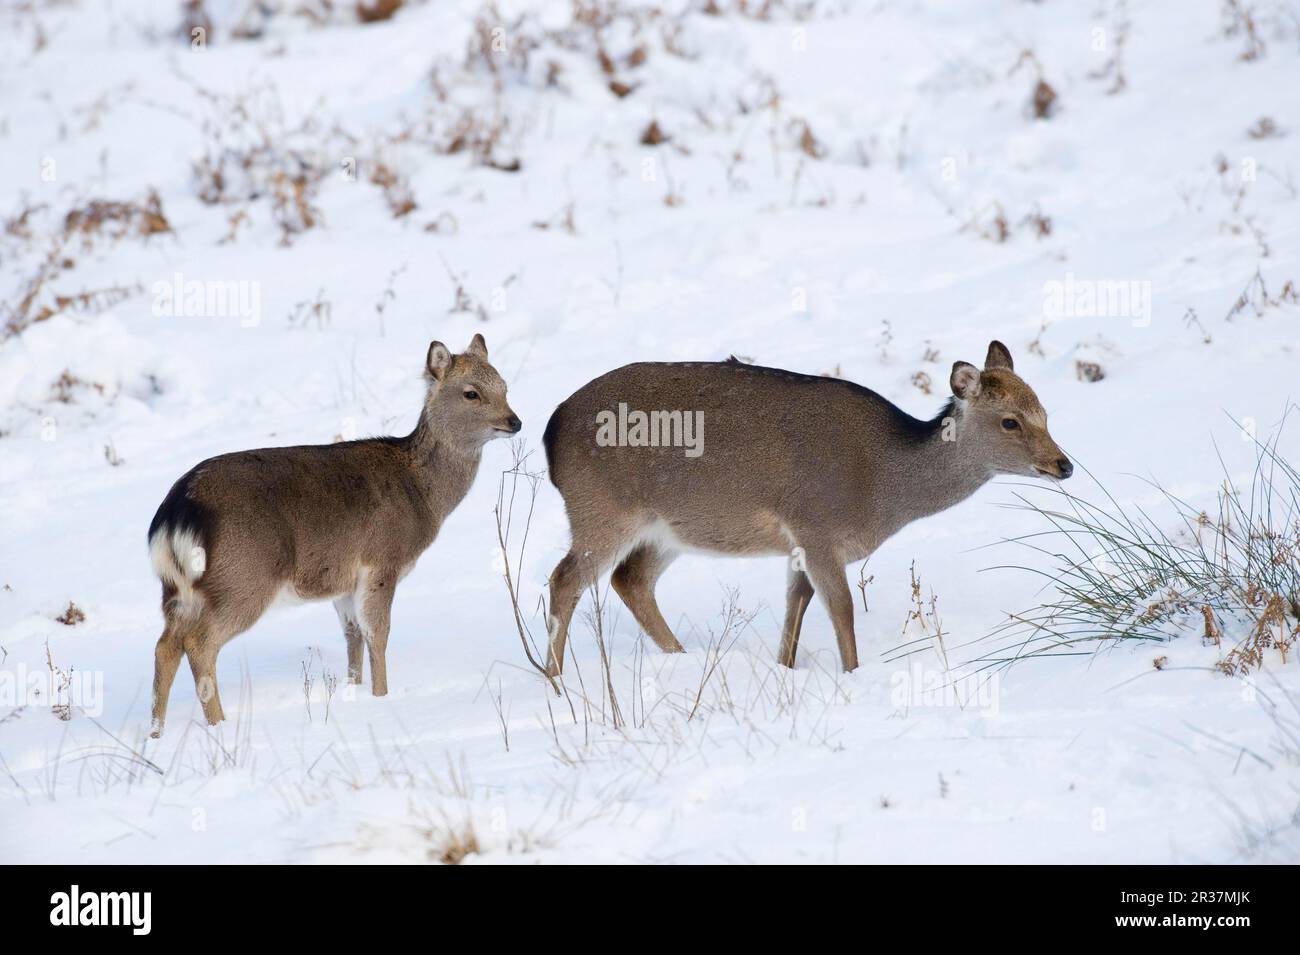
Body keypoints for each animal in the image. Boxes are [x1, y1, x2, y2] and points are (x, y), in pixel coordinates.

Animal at [146, 334, 520, 736]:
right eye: (471, 393)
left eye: (504, 386)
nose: (514, 421)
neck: (422, 496)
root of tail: (176, 513)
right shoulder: (382, 562)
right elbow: (378, 634)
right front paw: (382, 698)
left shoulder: (343, 580)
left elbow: (353, 635)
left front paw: (354, 691)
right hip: (243, 577)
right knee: (198, 643)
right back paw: (219, 724)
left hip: (177, 588)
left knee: (165, 645)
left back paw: (156, 733)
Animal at [540, 340, 1070, 676]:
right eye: (1010, 421)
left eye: (1046, 413)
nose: (1063, 465)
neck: (882, 488)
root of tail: (551, 429)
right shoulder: (817, 526)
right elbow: (842, 609)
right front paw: (853, 676)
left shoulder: (798, 544)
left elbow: (796, 608)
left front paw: (785, 671)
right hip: (603, 509)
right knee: (566, 578)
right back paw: (555, 678)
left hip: (667, 529)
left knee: (630, 580)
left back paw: (682, 656)